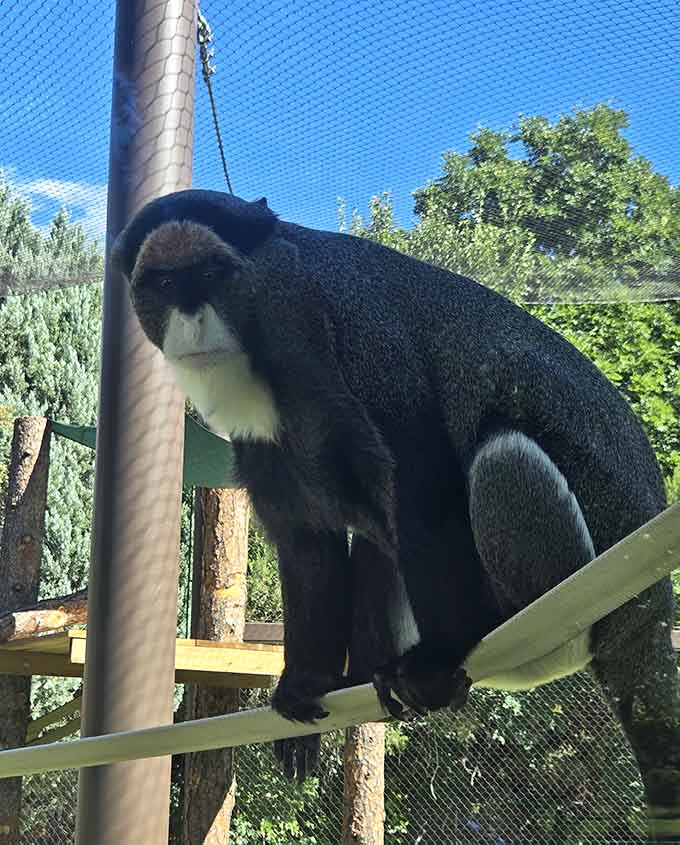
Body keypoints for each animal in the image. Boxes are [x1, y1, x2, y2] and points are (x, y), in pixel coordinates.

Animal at [112, 190, 680, 839]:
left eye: (210, 274)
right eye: (163, 281)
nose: (191, 317)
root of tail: (651, 614)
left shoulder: (357, 334)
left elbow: (421, 476)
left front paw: (438, 658)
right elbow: (310, 543)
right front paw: (307, 680)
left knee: (501, 454)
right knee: (381, 544)